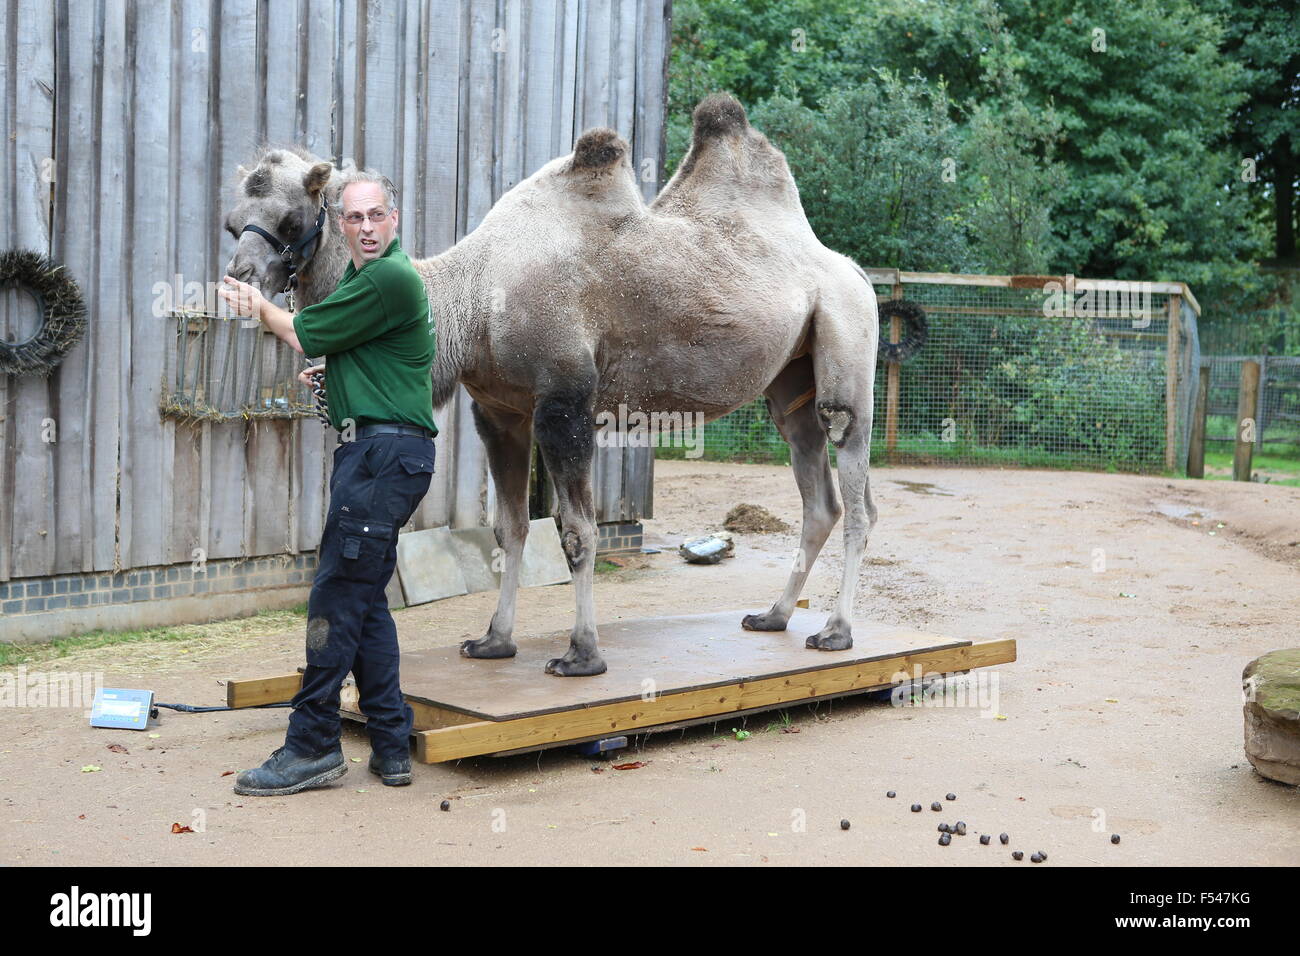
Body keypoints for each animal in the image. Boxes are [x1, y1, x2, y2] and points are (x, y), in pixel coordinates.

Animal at [223, 93, 880, 677]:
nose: (239, 276)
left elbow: (577, 532)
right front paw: (494, 640)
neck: (472, 302)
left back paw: (837, 631)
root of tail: (850, 269)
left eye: (290, 216)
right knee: (818, 496)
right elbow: (510, 530)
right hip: (789, 383)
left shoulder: (564, 403)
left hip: (848, 344)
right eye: (232, 224)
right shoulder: (499, 412)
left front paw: (582, 655)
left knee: (857, 494)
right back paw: (773, 616)